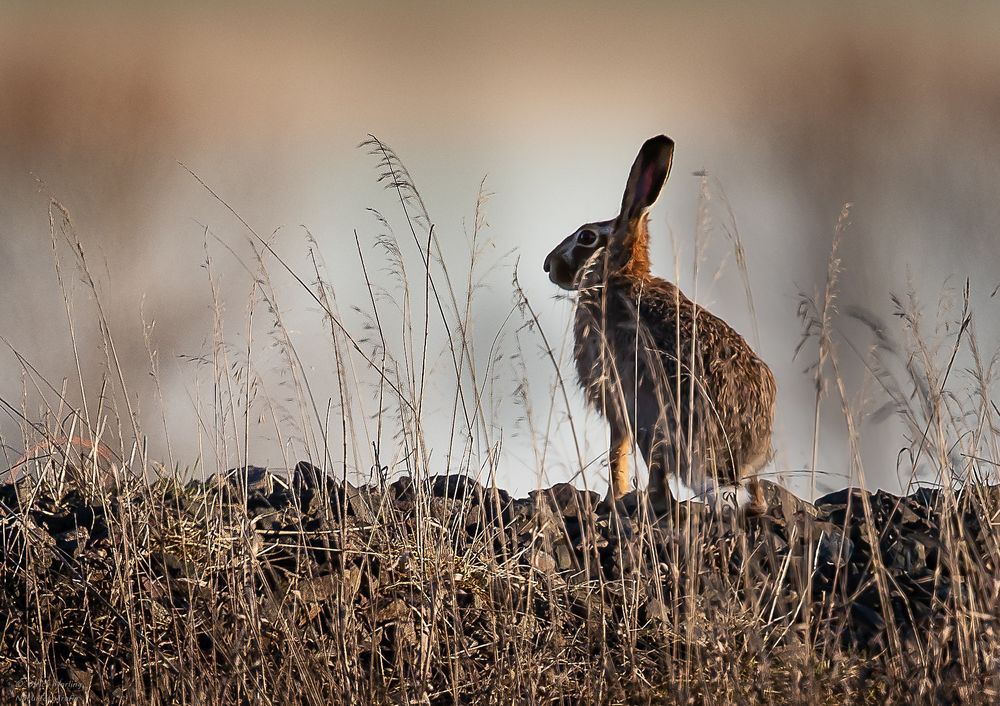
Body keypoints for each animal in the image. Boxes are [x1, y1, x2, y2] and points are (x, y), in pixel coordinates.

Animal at [543, 135, 776, 513]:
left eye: (587, 238)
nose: (548, 265)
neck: (617, 274)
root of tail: (729, 463)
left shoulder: (618, 405)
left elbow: (617, 455)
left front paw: (613, 498)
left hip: (656, 421)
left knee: (659, 480)